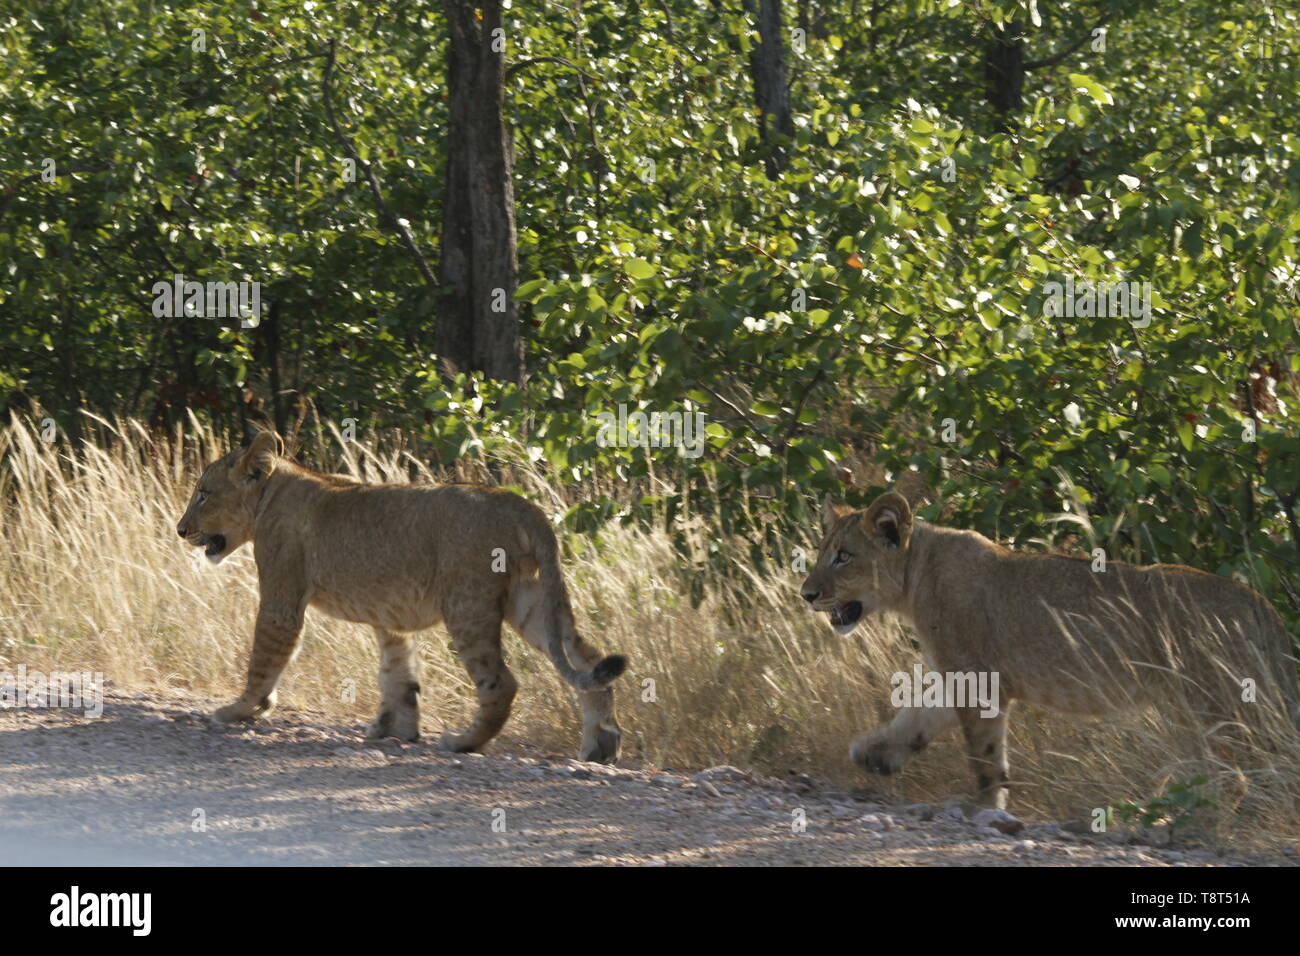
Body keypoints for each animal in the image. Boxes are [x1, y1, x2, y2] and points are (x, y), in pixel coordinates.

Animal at [175, 429, 627, 763]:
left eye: (203, 493)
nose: (181, 530)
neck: (272, 494)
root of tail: (522, 506)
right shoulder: (388, 614)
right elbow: (397, 672)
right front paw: (397, 729)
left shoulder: (282, 599)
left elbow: (263, 661)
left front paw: (240, 709)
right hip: (530, 601)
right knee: (590, 661)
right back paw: (600, 746)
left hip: (467, 605)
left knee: (501, 682)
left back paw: (464, 743)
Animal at [801, 491, 1300, 807]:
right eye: (824, 551)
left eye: (843, 556)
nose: (806, 594)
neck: (913, 576)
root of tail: (1262, 607)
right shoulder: (960, 674)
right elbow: (916, 719)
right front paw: (873, 755)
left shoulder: (978, 679)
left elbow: (984, 752)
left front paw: (985, 807)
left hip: (1215, 707)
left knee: (1245, 776)